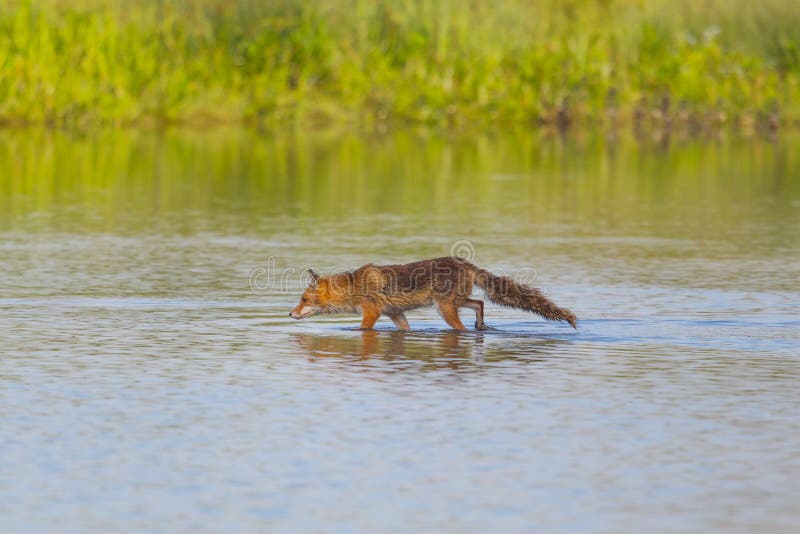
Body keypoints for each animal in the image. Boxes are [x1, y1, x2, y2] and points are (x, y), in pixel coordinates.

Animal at [289, 256, 577, 331]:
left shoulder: (372, 313)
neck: (355, 287)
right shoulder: (396, 315)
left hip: (446, 309)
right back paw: (481, 327)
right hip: (455, 303)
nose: (290, 314)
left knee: (467, 320)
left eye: (303, 300)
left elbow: (362, 329)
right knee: (480, 303)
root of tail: (463, 261)